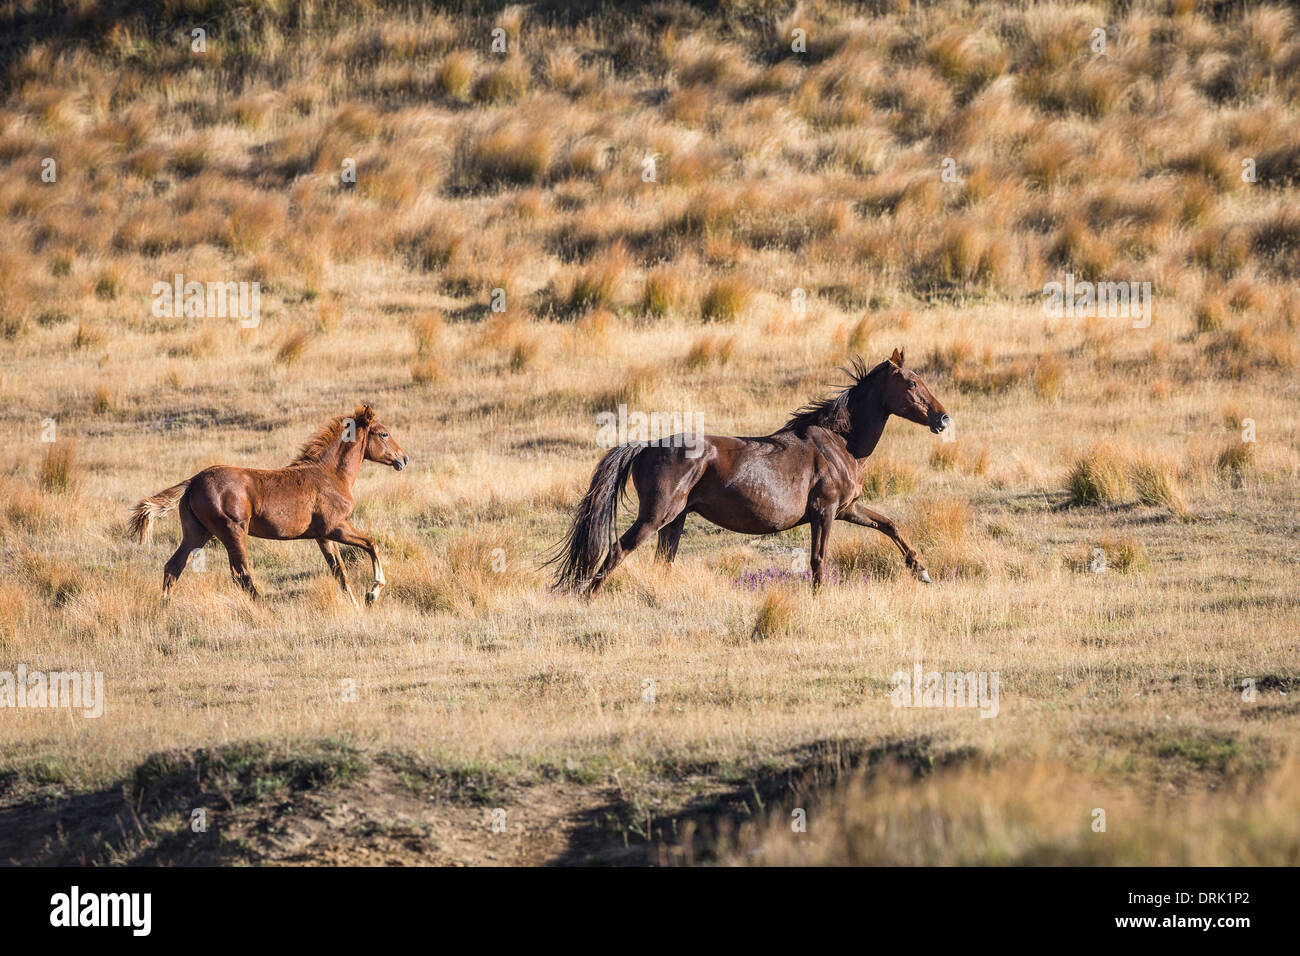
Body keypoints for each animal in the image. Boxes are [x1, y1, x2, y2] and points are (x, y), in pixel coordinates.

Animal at [128, 404, 408, 605]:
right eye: (384, 433)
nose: (403, 459)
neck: (330, 475)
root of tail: (192, 482)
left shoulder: (323, 537)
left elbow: (340, 573)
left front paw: (356, 606)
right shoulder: (335, 527)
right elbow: (372, 544)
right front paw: (372, 594)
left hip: (198, 533)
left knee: (173, 568)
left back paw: (164, 610)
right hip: (233, 532)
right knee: (241, 575)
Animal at [548, 350, 951, 595]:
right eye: (912, 383)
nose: (943, 418)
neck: (840, 442)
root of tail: (646, 445)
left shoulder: (847, 509)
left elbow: (889, 525)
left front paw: (921, 569)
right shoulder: (825, 512)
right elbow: (818, 559)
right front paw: (819, 597)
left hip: (675, 520)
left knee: (663, 561)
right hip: (656, 516)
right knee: (618, 550)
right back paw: (588, 597)